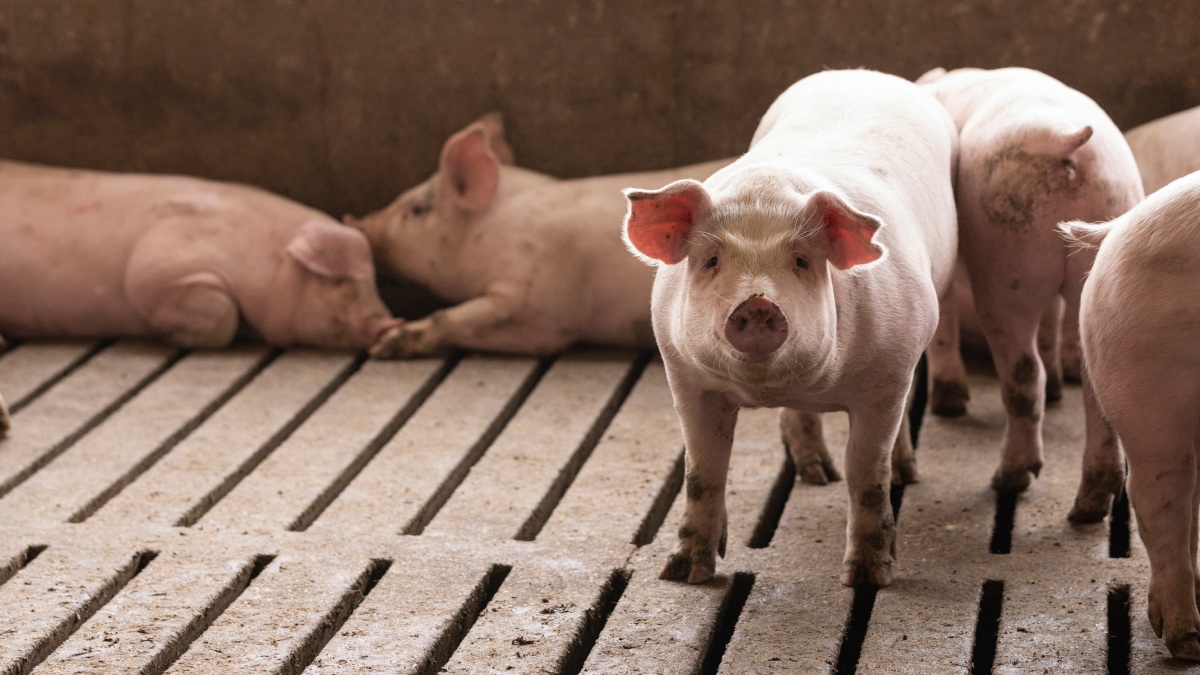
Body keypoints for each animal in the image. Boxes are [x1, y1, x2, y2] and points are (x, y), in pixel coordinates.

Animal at [0, 160, 400, 350]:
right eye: (338, 279)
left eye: (373, 280)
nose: (388, 323)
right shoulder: (161, 267)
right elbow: (222, 315)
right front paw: (164, 336)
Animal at [350, 113, 730, 358]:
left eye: (416, 210)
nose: (357, 222)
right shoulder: (547, 327)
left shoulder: (539, 296)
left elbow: (461, 314)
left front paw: (384, 347)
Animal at [622, 69, 958, 586]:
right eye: (711, 260)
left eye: (801, 261)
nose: (758, 302)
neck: (774, 387)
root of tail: (863, 73)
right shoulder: (687, 378)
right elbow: (702, 471)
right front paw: (682, 574)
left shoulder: (888, 375)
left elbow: (866, 473)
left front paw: (867, 578)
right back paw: (814, 475)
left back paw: (900, 475)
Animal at [918, 67, 1144, 522]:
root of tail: (1065, 141)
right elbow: (1052, 321)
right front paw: (1057, 387)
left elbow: (943, 324)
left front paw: (948, 404)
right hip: (1105, 224)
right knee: (1093, 385)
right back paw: (1088, 506)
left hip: (1004, 263)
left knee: (1023, 372)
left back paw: (1008, 478)